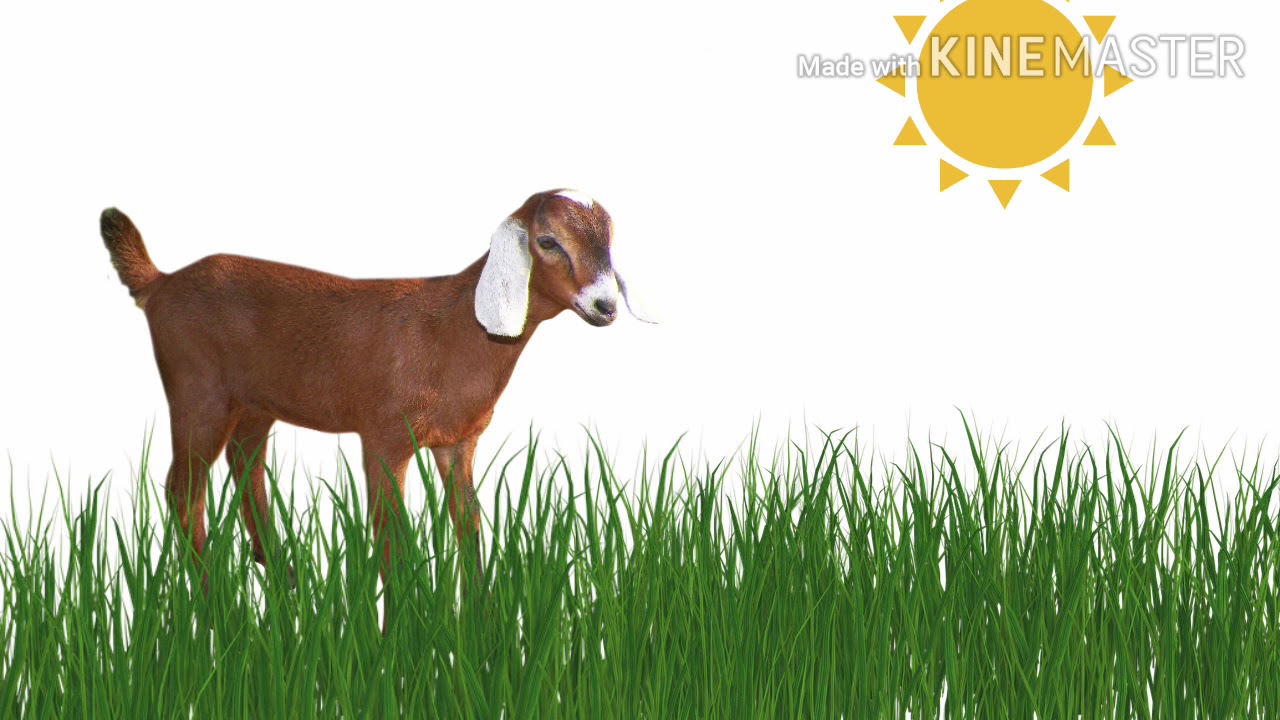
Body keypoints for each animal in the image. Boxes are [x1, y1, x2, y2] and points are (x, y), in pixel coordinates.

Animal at [99, 189, 652, 596]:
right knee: (183, 487)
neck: (455, 328)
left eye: (609, 239)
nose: (605, 306)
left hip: (256, 402)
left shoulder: (459, 442)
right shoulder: (385, 437)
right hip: (198, 393)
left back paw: (281, 575)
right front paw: (403, 638)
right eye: (547, 240)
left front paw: (481, 617)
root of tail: (160, 284)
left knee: (244, 462)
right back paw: (215, 600)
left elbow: (469, 525)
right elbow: (392, 539)